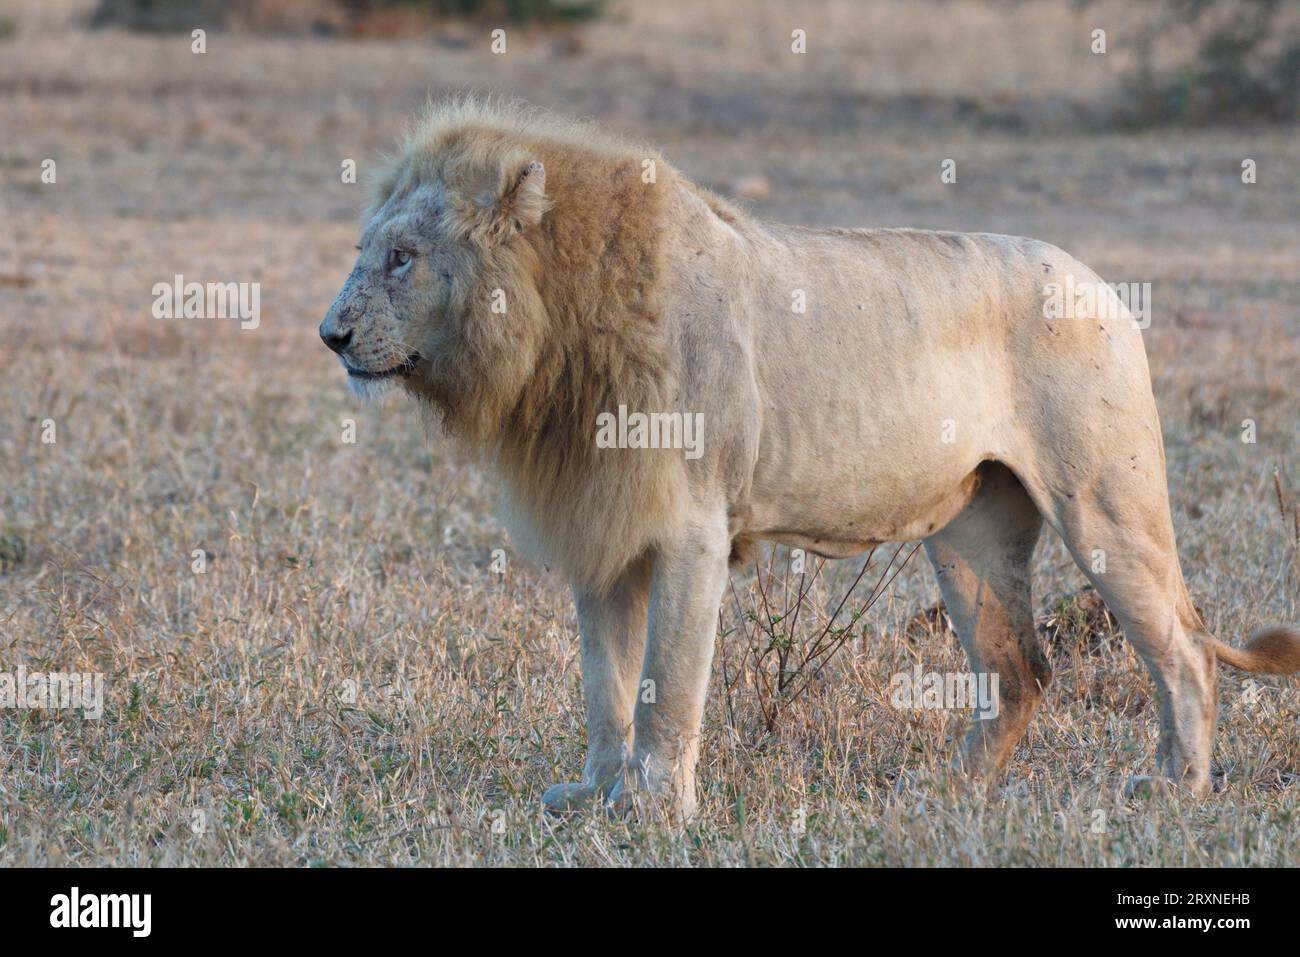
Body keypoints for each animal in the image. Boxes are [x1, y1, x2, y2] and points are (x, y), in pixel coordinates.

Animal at [320, 98, 1300, 819]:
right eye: (365, 252)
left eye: (402, 258)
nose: (330, 335)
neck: (555, 333)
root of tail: (1105, 286)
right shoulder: (603, 525)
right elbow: (606, 684)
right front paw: (595, 793)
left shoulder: (690, 526)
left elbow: (666, 685)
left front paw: (655, 807)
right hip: (972, 536)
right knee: (1020, 672)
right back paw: (944, 793)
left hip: (1103, 503)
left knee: (1185, 649)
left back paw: (1175, 786)